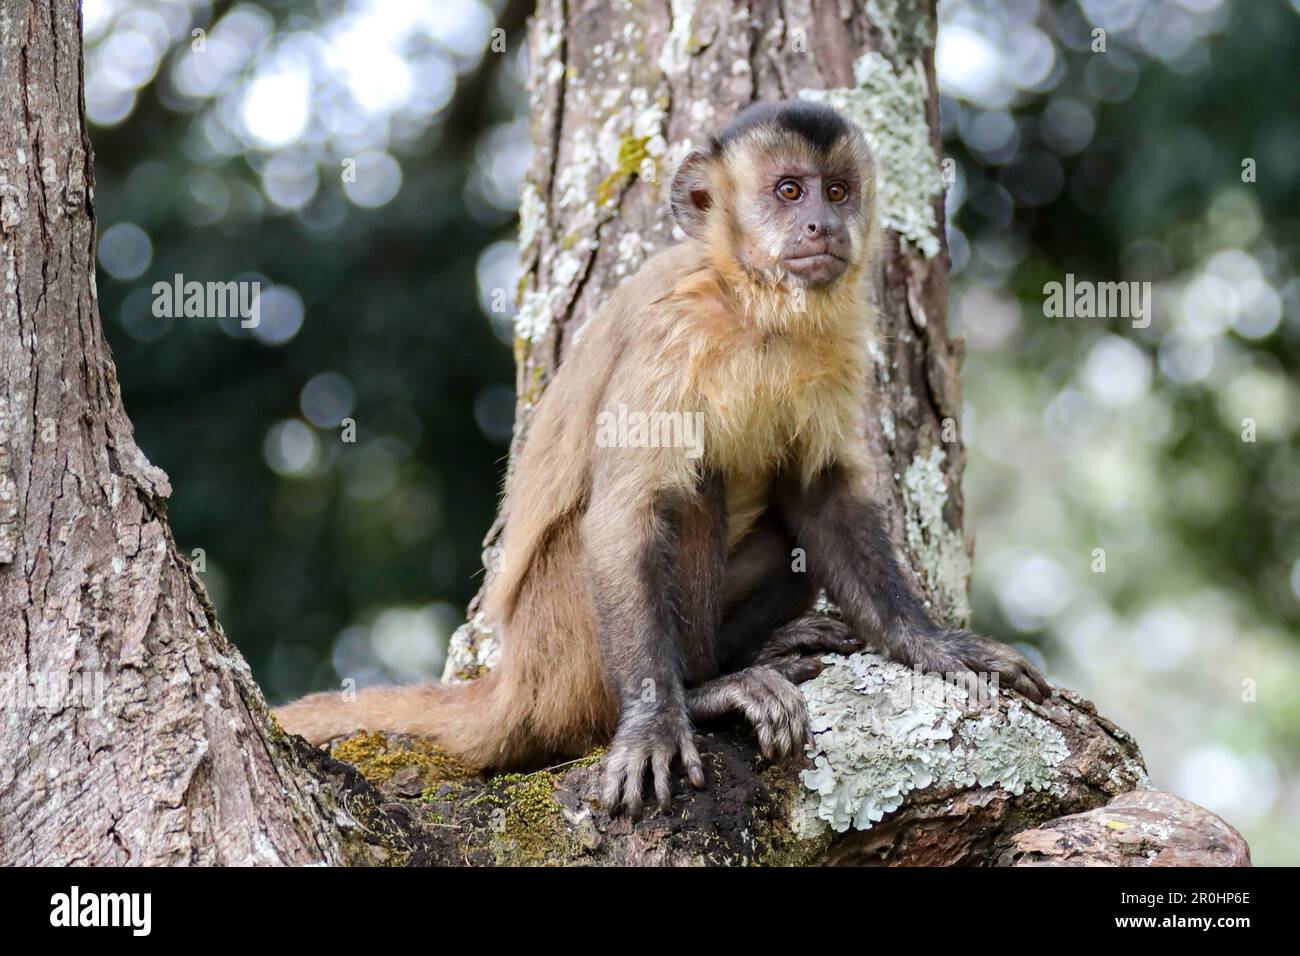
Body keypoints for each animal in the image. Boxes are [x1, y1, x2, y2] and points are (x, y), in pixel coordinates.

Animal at [275, 100, 1050, 818]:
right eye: (789, 191)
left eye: (837, 191)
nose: (821, 228)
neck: (755, 304)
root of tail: (512, 681)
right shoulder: (673, 332)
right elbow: (627, 515)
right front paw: (654, 722)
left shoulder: (839, 339)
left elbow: (821, 496)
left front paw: (930, 644)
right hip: (562, 650)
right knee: (686, 493)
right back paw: (708, 689)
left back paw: (758, 651)